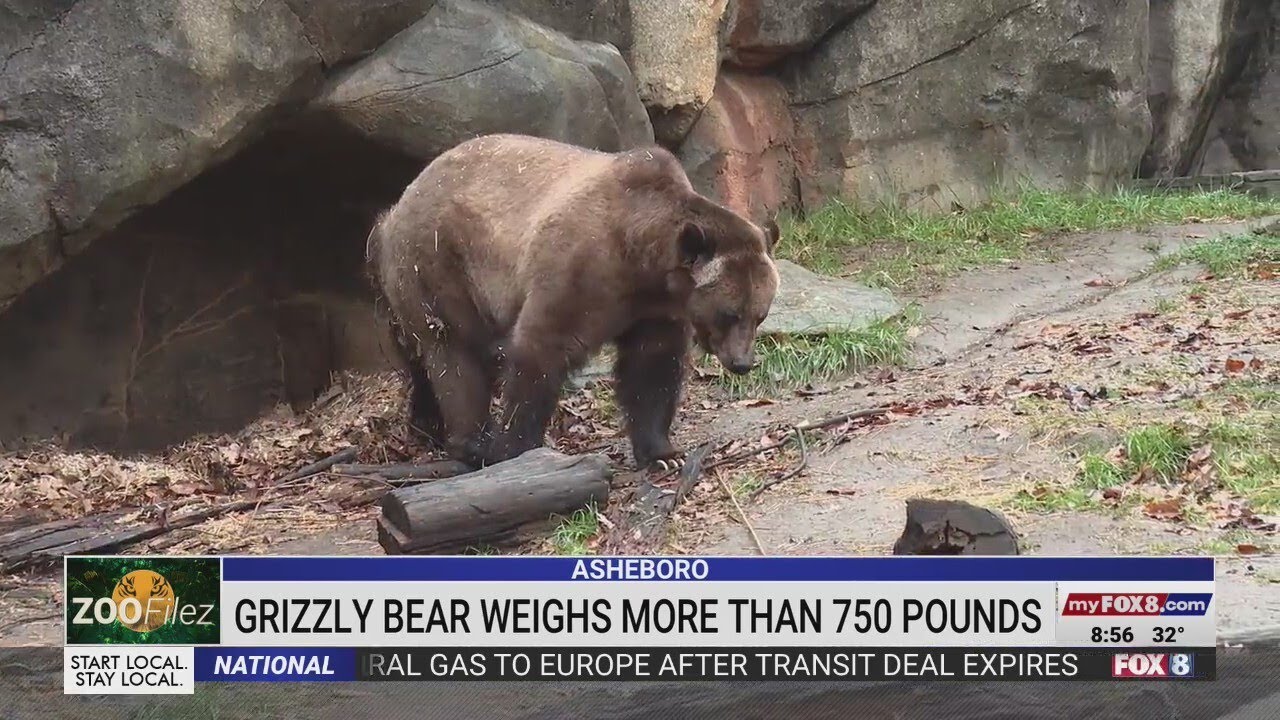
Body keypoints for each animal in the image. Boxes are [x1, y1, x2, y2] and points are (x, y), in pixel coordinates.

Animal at [365, 133, 779, 469]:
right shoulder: (577, 271)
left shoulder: (653, 308)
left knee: (423, 355)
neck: (640, 254)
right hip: (439, 260)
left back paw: (428, 423)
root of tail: (397, 205)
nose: (743, 363)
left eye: (759, 316)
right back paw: (473, 442)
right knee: (454, 351)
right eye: (729, 314)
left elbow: (651, 368)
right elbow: (541, 349)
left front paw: (662, 452)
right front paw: (514, 446)